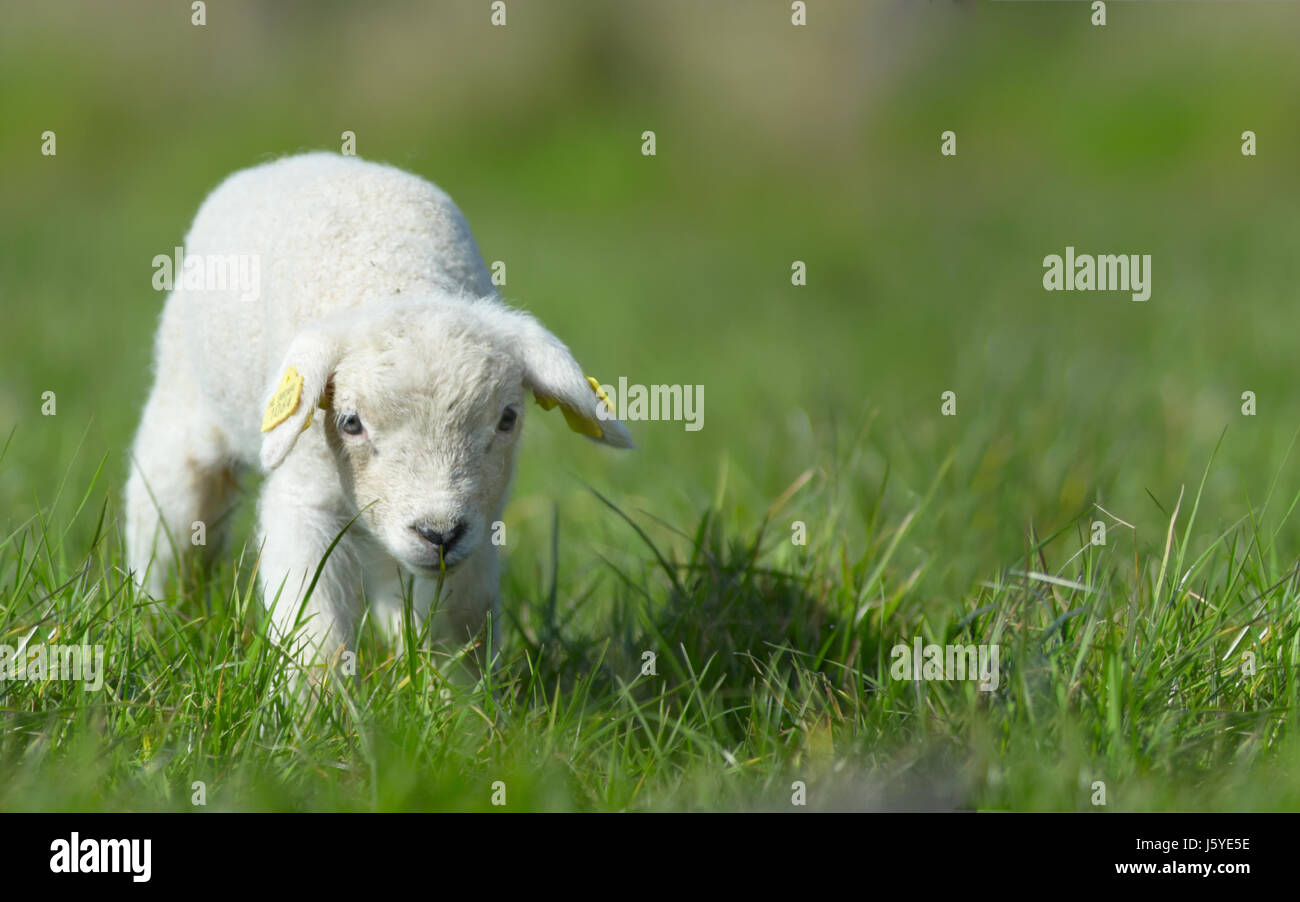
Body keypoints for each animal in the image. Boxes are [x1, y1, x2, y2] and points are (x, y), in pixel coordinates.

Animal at [124, 152, 631, 678]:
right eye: (351, 422)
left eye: (507, 418)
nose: (438, 533)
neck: (395, 277)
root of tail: (295, 158)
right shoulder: (304, 497)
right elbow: (314, 633)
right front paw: (316, 699)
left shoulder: (482, 519)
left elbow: (459, 619)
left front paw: (459, 691)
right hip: (181, 405)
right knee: (166, 522)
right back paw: (154, 624)